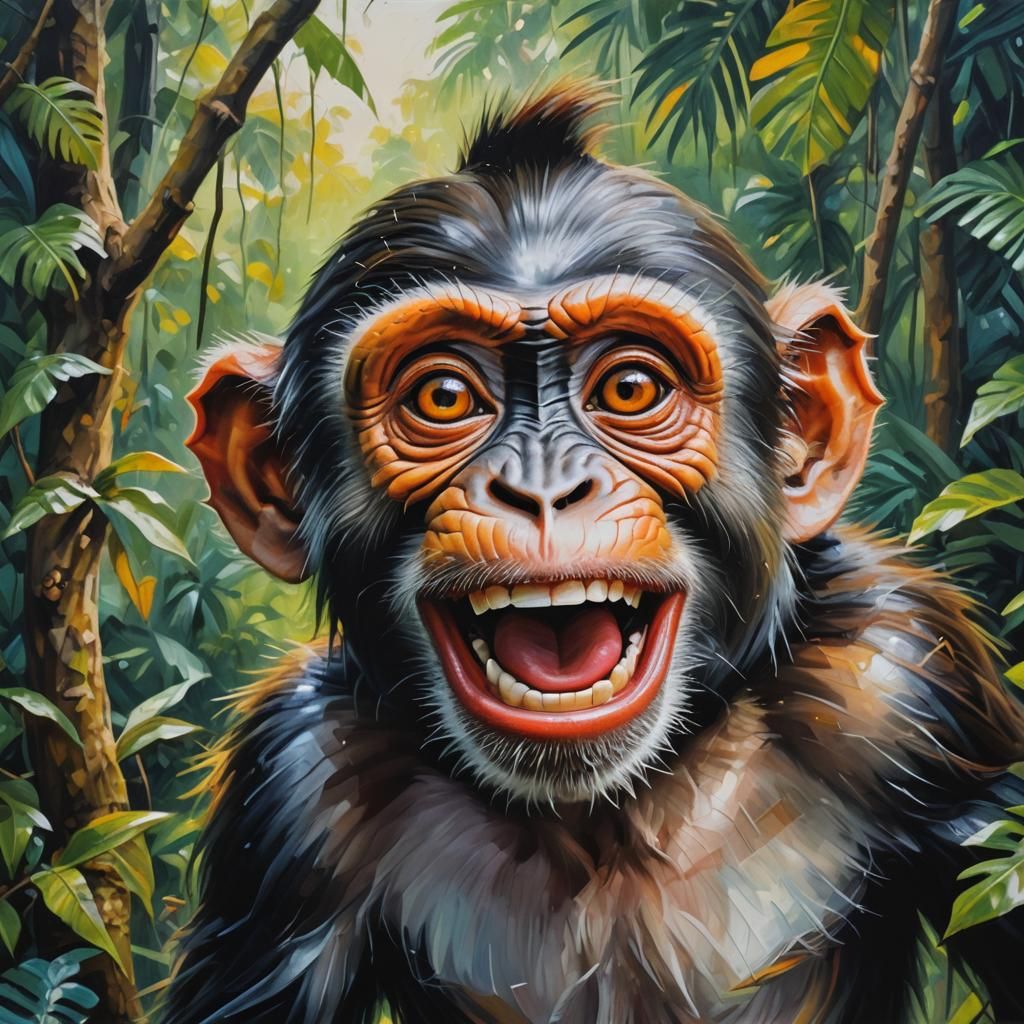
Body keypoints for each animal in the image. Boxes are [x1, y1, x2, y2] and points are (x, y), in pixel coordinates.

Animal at [162, 84, 1024, 1024]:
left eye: (631, 387)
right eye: (444, 396)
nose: (542, 488)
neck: (611, 808)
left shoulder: (903, 683)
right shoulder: (293, 791)